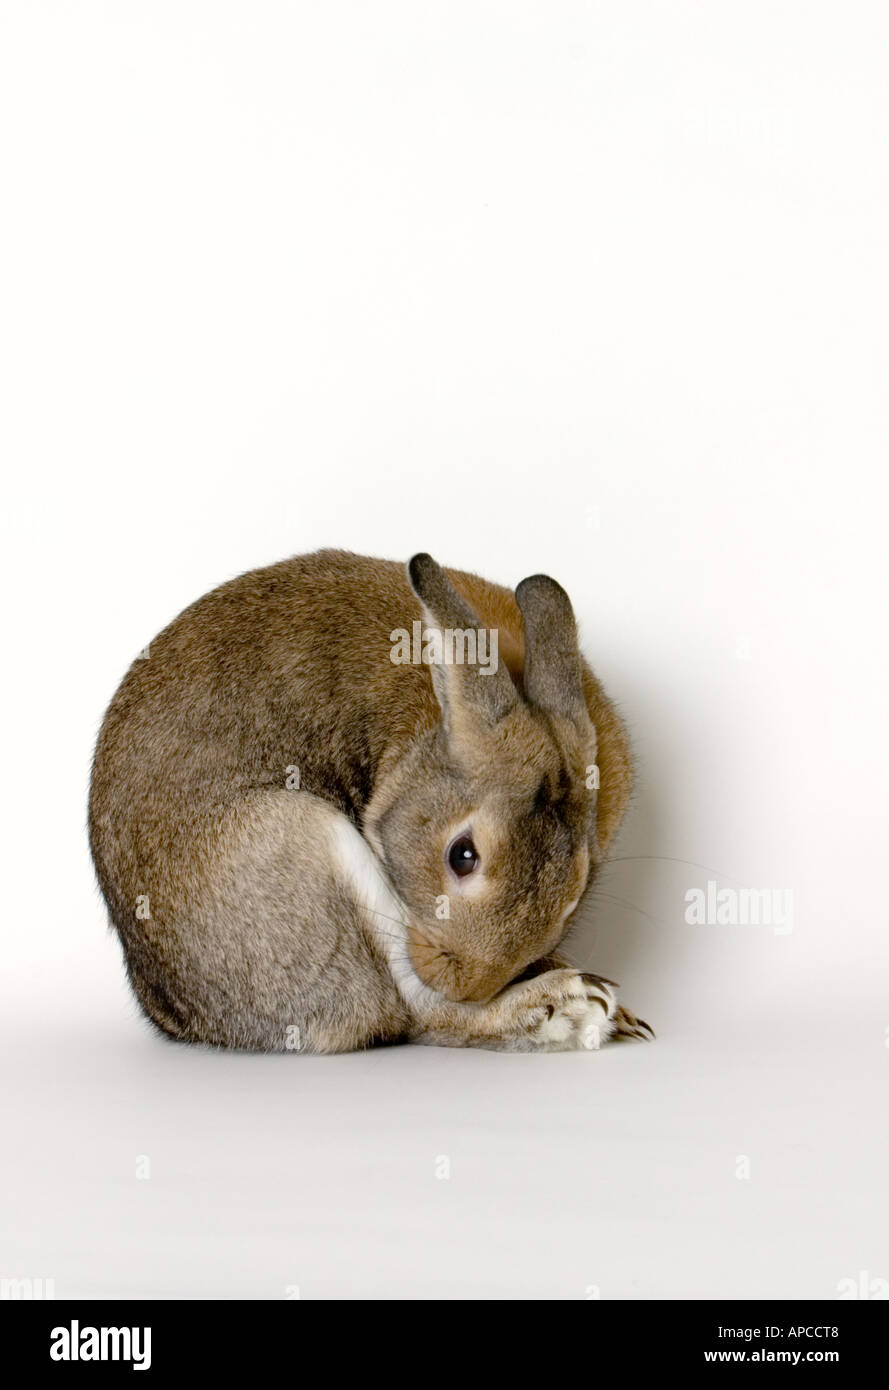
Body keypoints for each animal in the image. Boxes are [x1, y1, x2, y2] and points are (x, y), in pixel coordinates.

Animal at [88, 549, 651, 1053]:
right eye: (462, 855)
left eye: (573, 896)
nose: (469, 986)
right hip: (302, 843)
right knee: (412, 1015)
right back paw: (571, 1008)